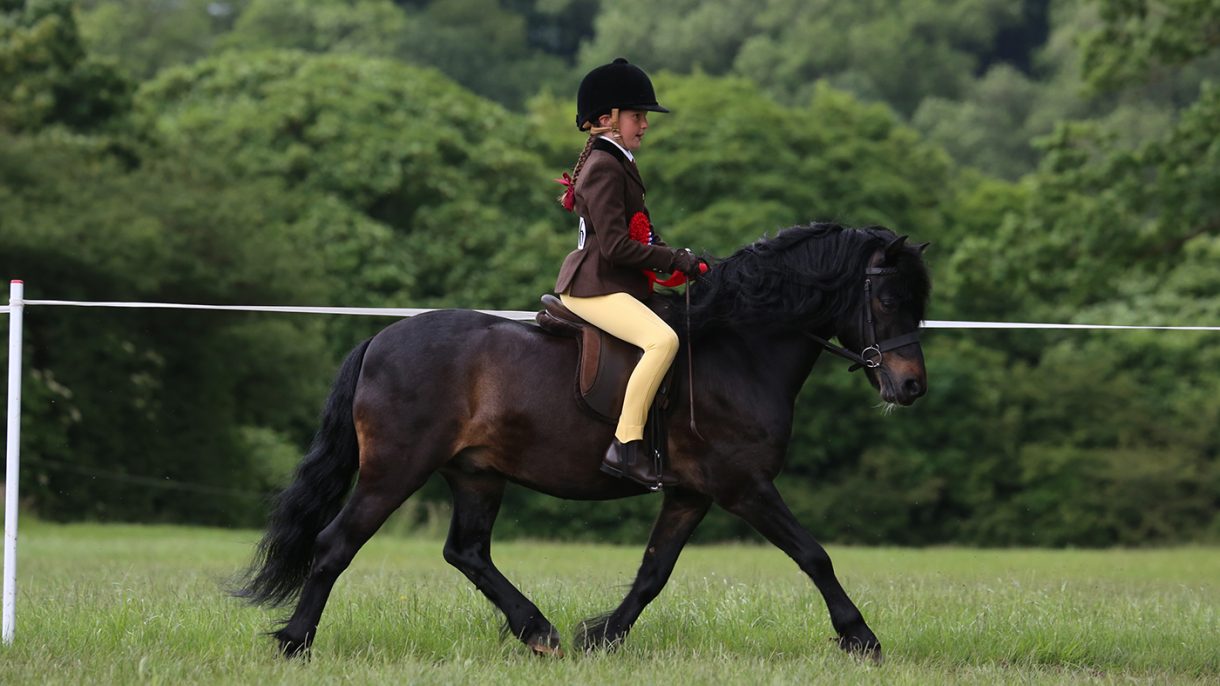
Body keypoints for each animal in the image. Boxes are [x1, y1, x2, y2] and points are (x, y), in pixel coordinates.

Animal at [234, 222, 930, 662]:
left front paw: (602, 638)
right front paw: (862, 639)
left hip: (476, 472)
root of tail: (379, 339)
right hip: (395, 470)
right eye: (889, 298)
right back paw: (295, 642)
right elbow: (815, 556)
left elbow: (653, 572)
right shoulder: (744, 486)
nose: (911, 387)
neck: (740, 346)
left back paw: (538, 631)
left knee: (467, 552)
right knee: (336, 544)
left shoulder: (691, 494)